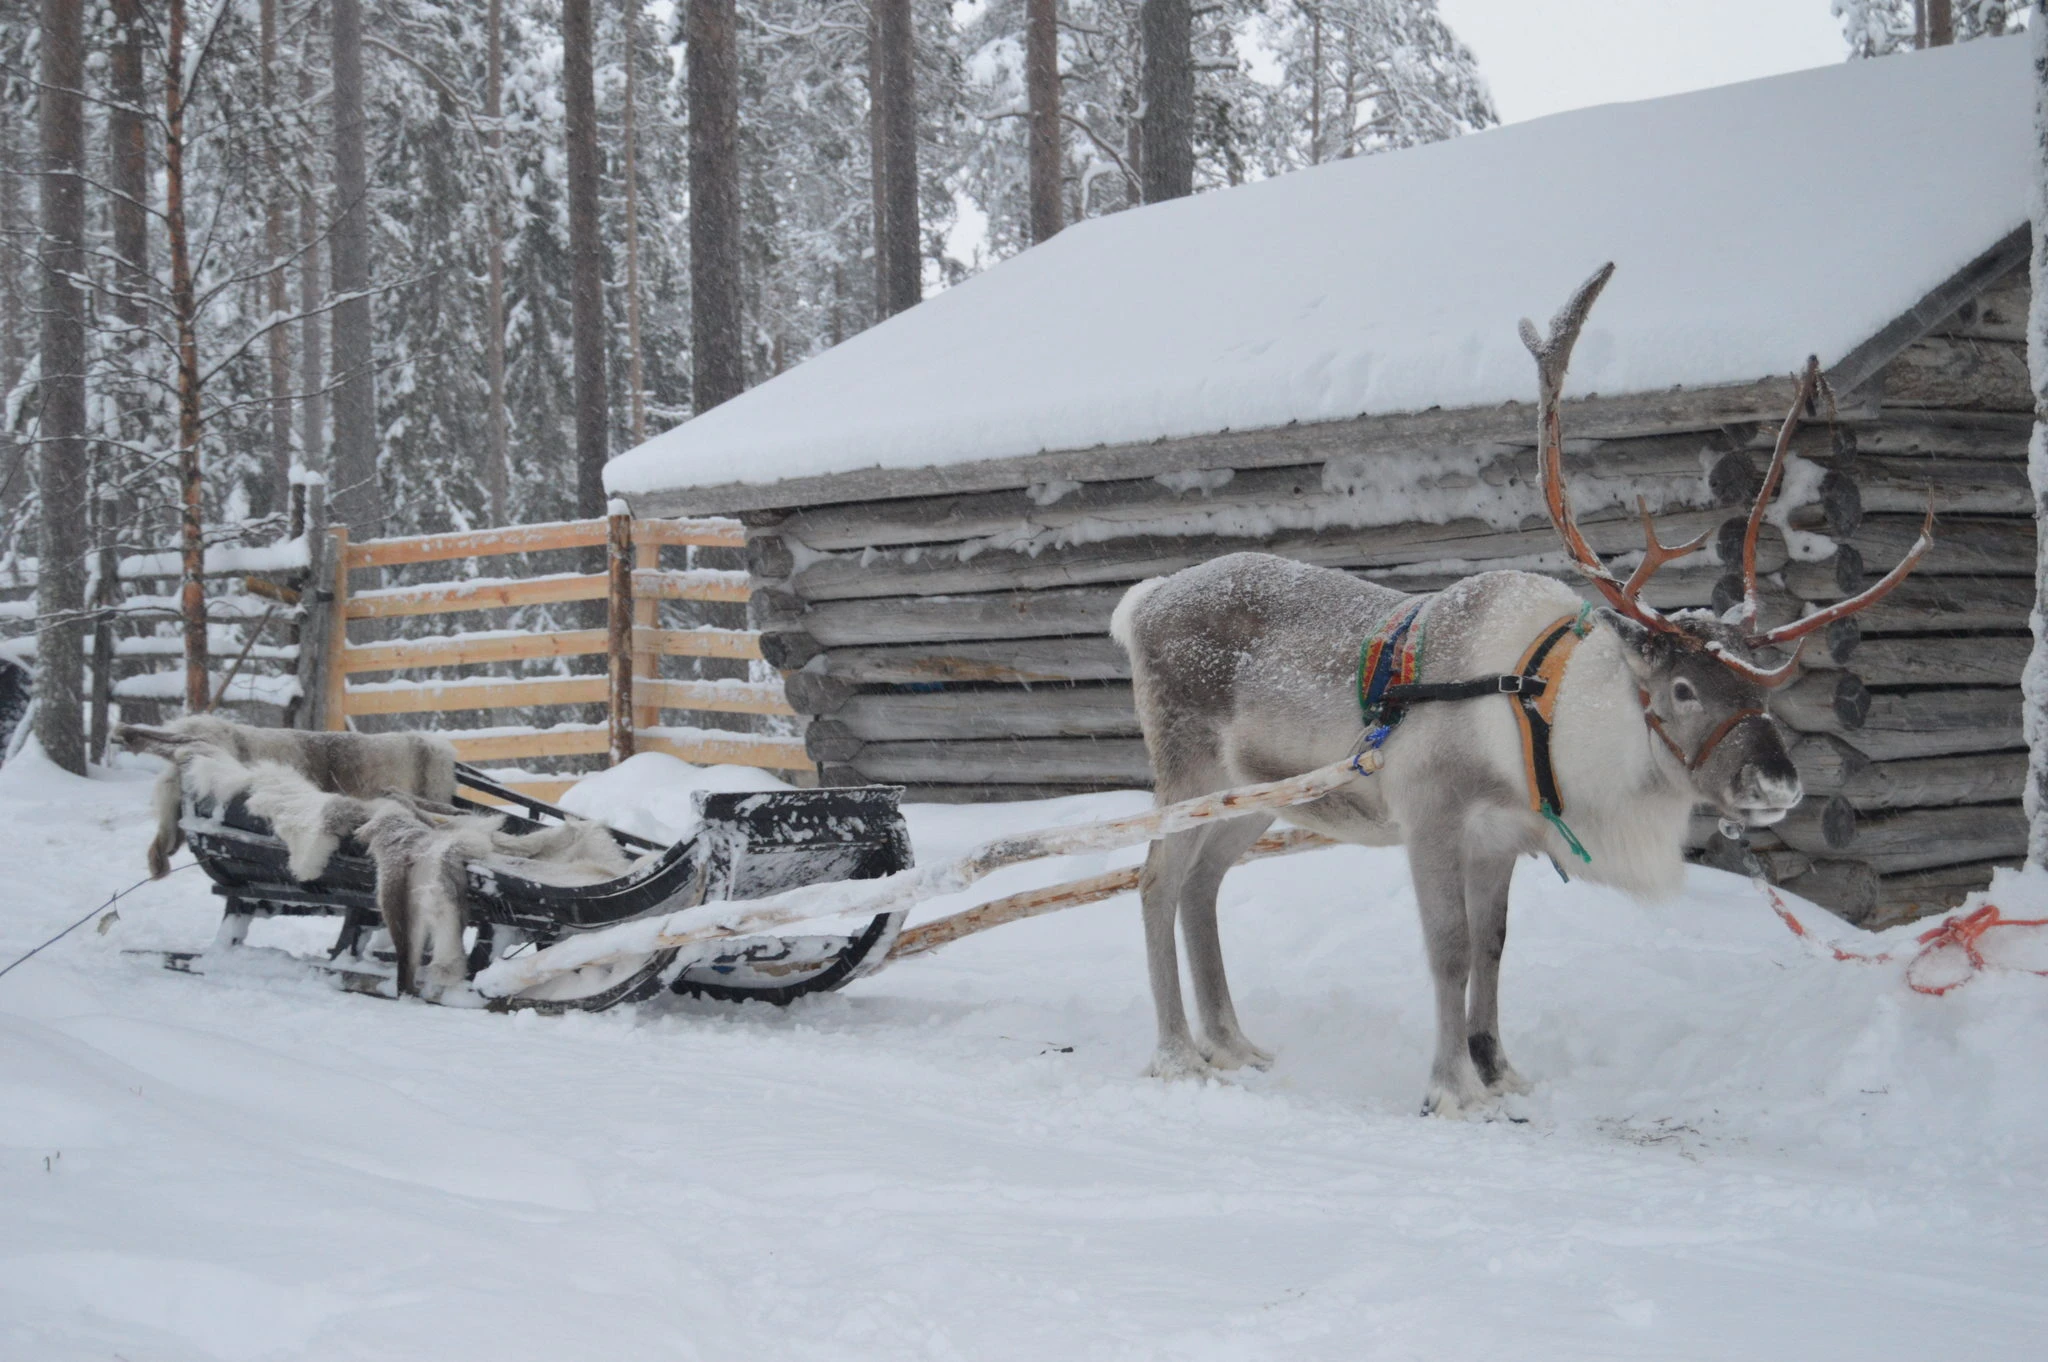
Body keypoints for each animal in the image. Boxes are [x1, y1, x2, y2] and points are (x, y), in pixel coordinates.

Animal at [1109, 264, 1931, 1116]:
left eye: (1760, 688)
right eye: (1681, 688)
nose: (1776, 782)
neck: (1545, 715)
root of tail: (1143, 603)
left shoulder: (1499, 837)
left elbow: (1493, 949)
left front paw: (1499, 1070)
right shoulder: (1432, 817)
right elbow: (1448, 950)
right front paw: (1449, 1087)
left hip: (1257, 797)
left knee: (1202, 885)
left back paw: (1233, 1044)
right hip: (1189, 771)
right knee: (1156, 880)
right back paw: (1177, 1053)